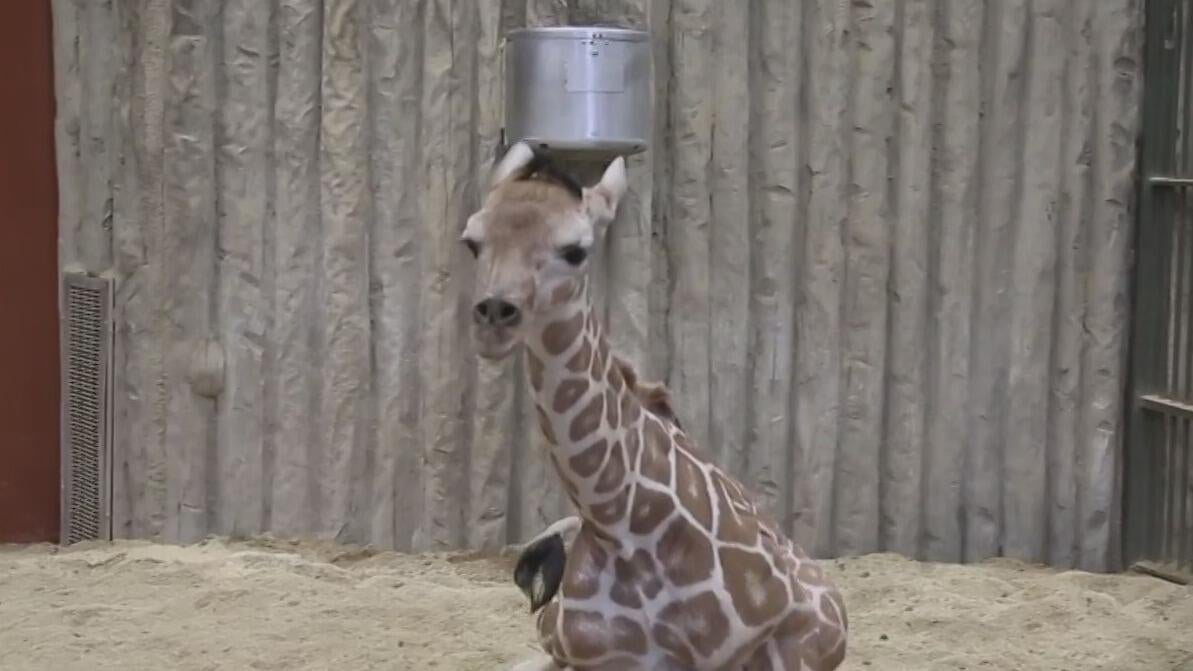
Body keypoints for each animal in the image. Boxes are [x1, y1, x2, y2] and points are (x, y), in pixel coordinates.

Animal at [462, 142, 848, 670]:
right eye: (472, 242)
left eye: (575, 250)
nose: (495, 317)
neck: (624, 520)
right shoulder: (587, 653)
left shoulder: (793, 644)